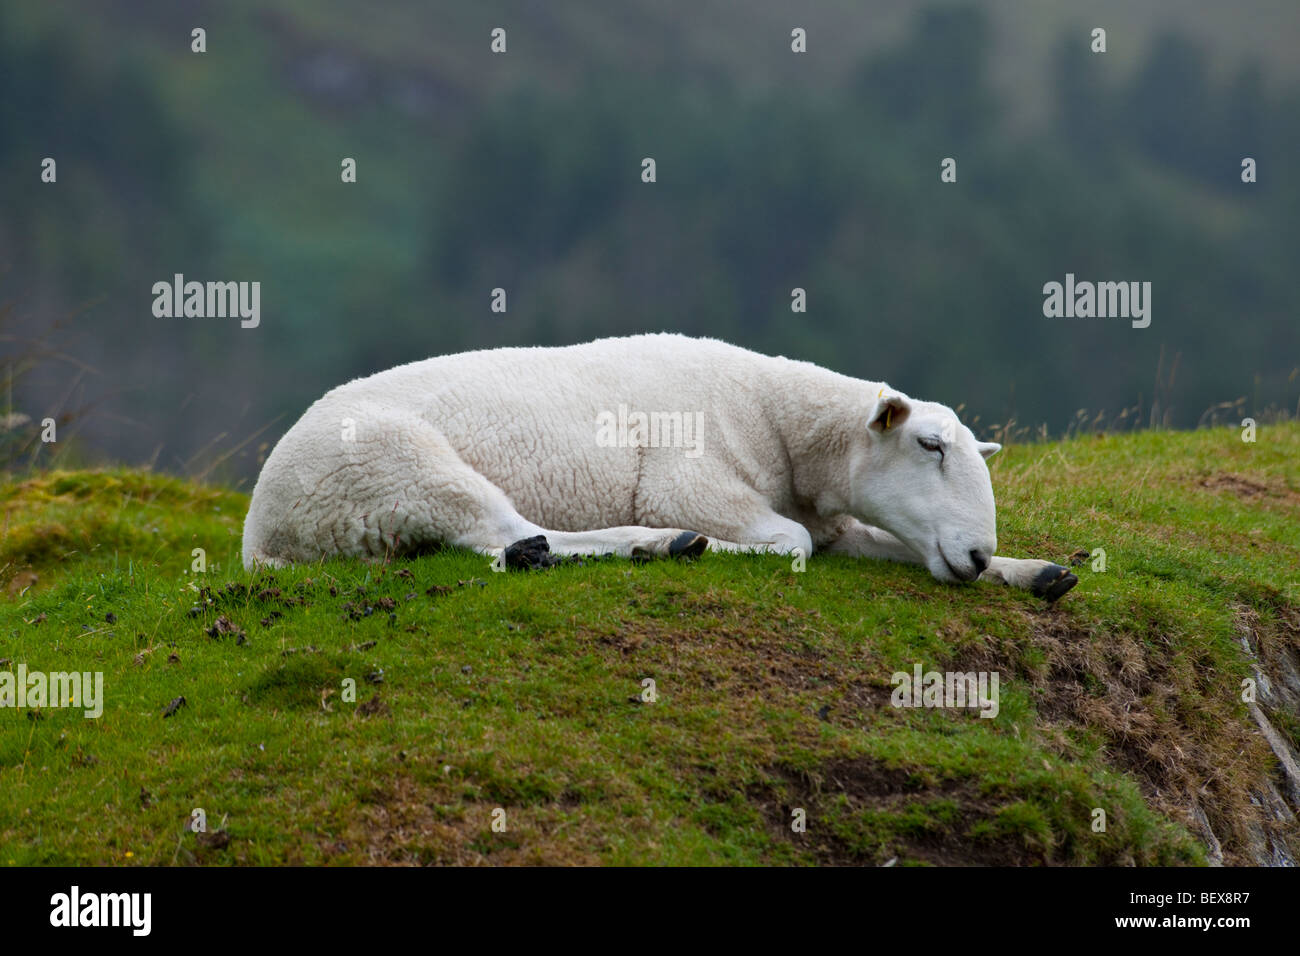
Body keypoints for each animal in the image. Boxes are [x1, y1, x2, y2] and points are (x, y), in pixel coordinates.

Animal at [242, 333, 1078, 601]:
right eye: (929, 447)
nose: (976, 553)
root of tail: (261, 535)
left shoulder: (839, 521)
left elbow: (881, 544)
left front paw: (1033, 571)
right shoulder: (691, 482)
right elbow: (796, 545)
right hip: (405, 469)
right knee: (510, 540)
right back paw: (659, 544)